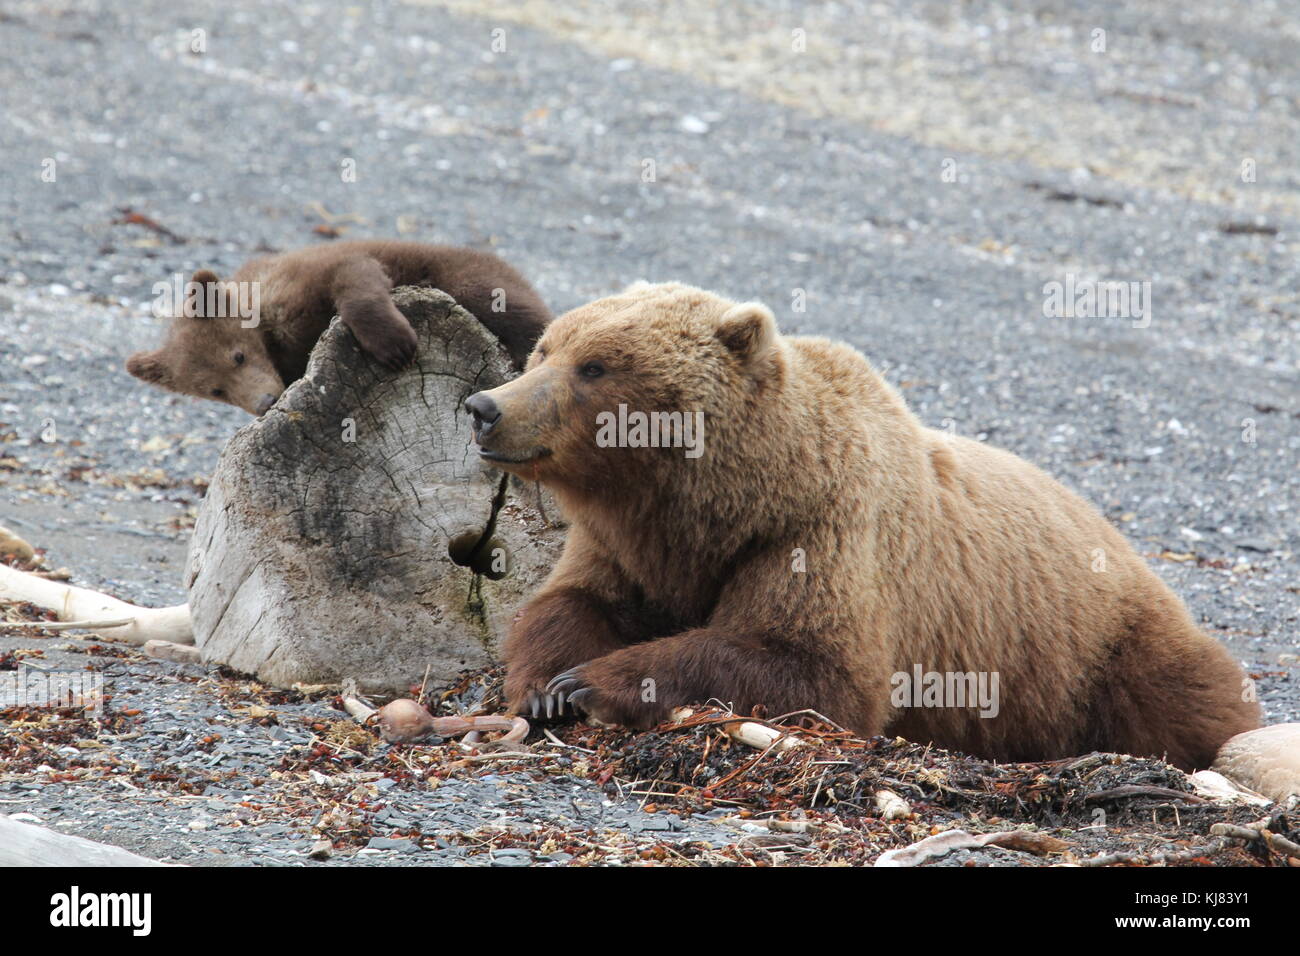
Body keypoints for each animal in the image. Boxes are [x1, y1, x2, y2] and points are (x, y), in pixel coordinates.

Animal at [127, 240, 551, 415]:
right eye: (214, 390)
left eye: (238, 355)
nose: (264, 402)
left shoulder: (310, 278)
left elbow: (354, 276)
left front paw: (395, 346)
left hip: (471, 278)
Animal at [463, 280, 1261, 771]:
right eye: (547, 348)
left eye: (596, 366)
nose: (485, 406)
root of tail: (1119, 535)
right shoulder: (629, 544)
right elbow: (569, 601)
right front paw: (545, 683)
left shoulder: (820, 535)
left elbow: (816, 669)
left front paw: (595, 682)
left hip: (1103, 643)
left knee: (1184, 694)